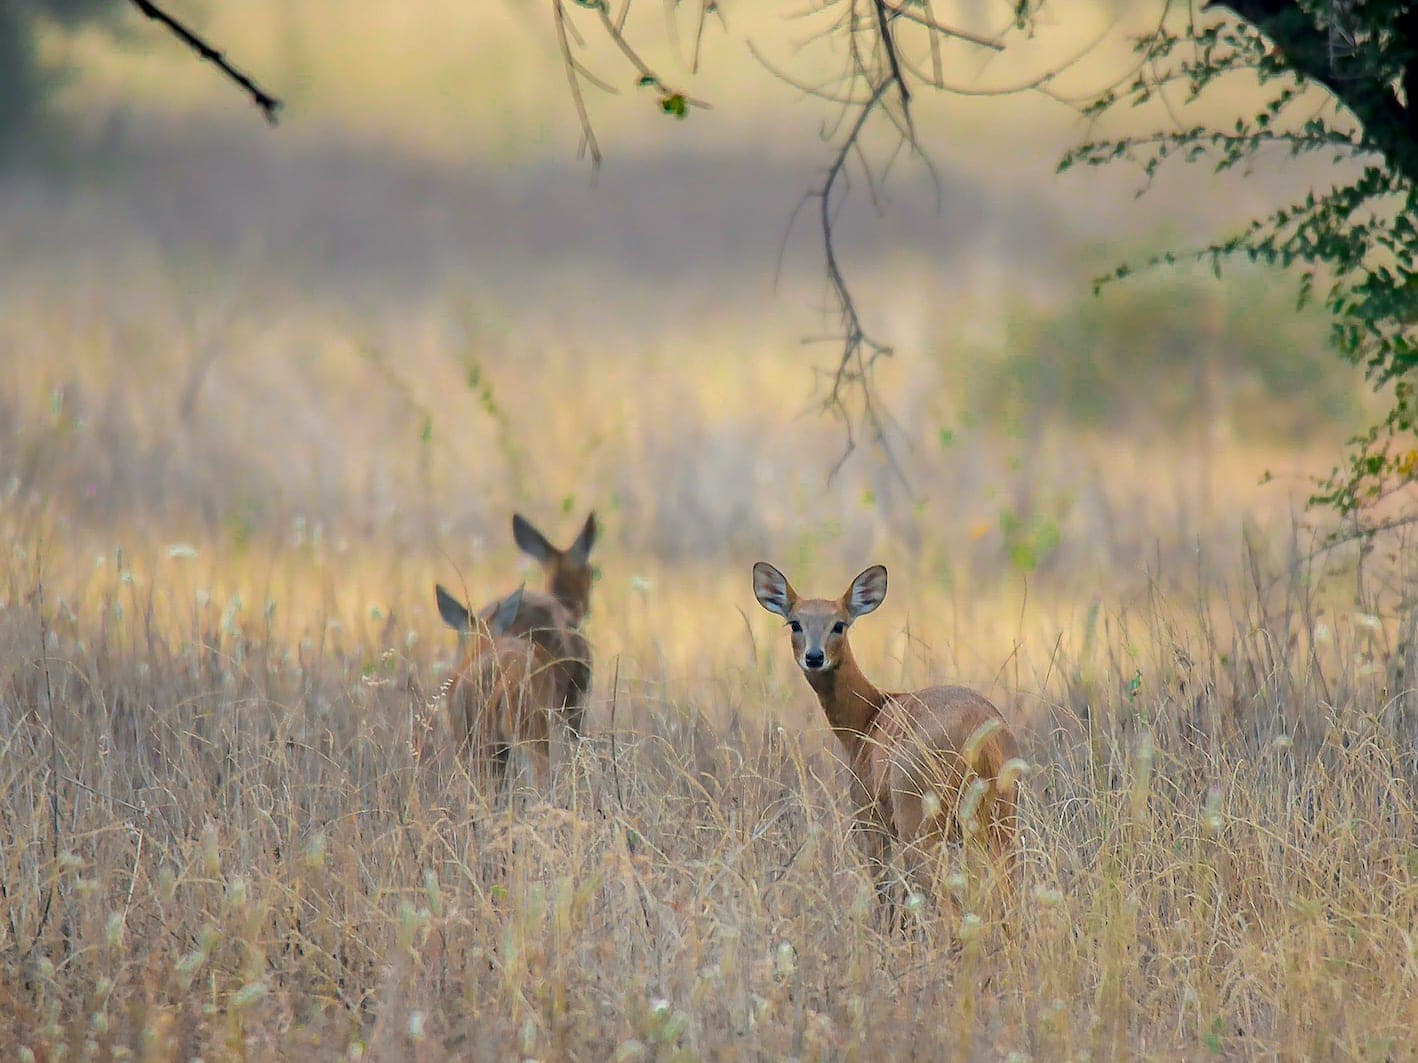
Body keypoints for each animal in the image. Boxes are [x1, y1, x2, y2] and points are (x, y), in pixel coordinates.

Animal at [752, 562, 1022, 906]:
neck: (866, 721)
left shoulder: (868, 817)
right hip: (1001, 818)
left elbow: (886, 894)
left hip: (917, 816)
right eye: (795, 623)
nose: (814, 656)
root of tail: (979, 740)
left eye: (839, 624)